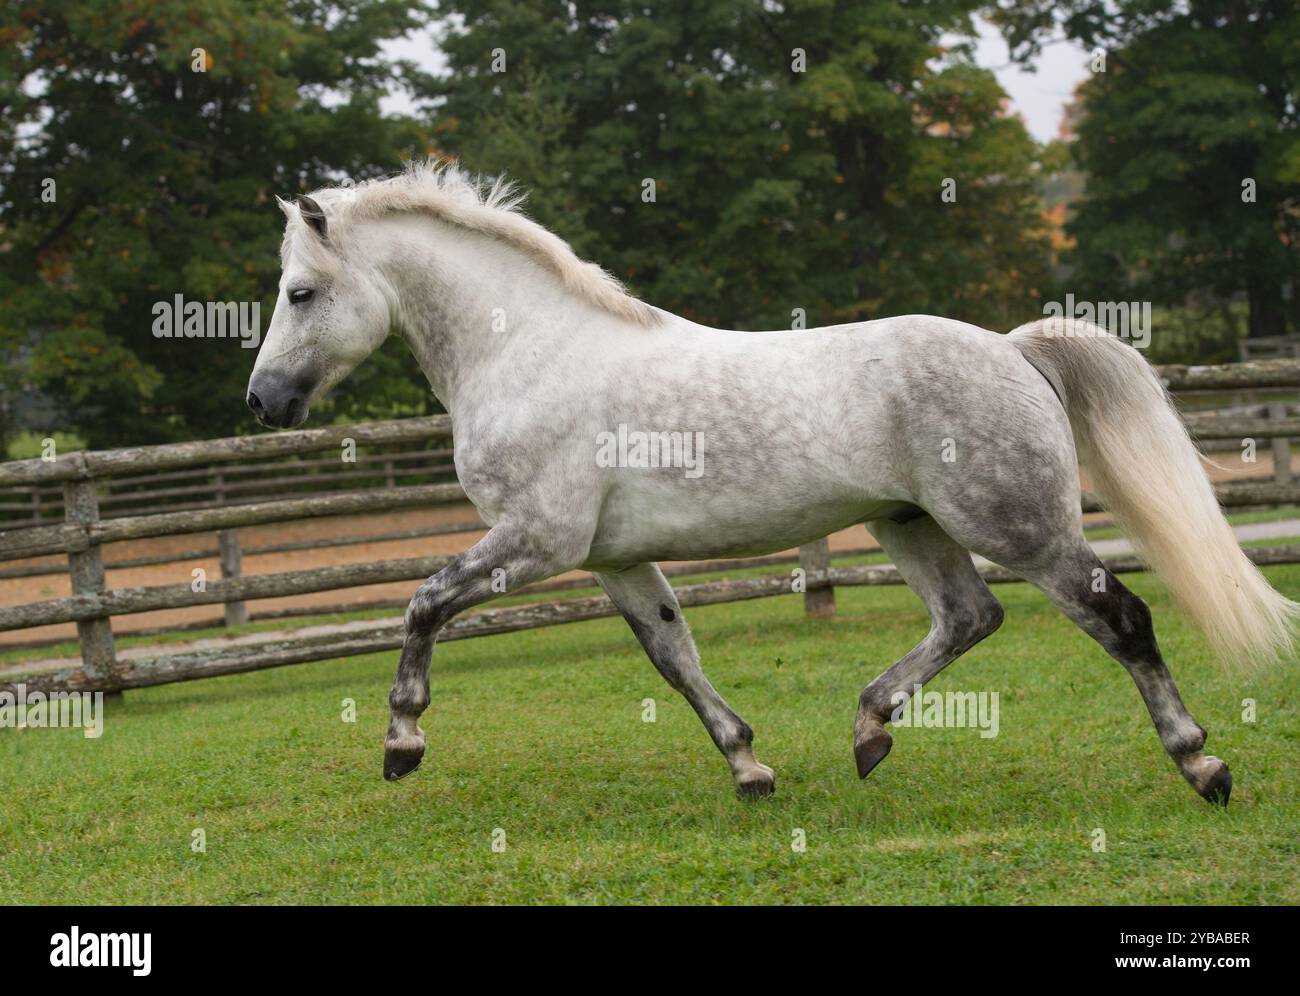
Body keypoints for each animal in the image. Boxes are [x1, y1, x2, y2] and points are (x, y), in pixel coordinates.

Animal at [246, 161, 1296, 806]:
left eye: (300, 292)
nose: (262, 402)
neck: (531, 354)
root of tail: (1010, 347)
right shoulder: (613, 561)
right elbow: (674, 658)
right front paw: (750, 766)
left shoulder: (535, 543)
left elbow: (423, 605)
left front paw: (401, 744)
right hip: (910, 524)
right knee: (970, 617)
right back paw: (869, 732)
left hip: (1021, 529)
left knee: (1121, 619)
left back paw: (1203, 764)